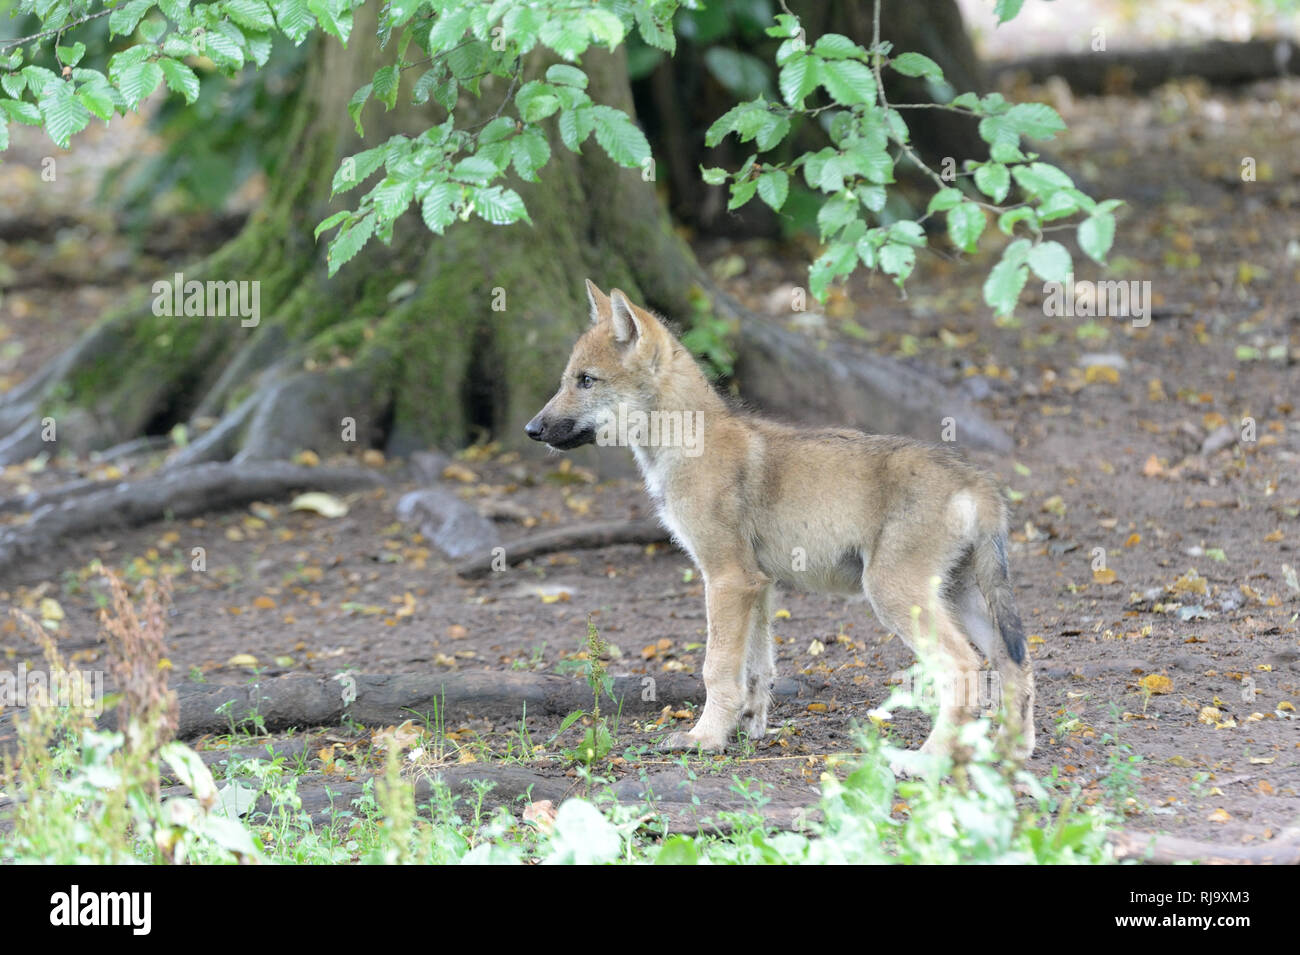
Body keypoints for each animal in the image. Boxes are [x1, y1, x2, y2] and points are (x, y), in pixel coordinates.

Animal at [525, 281, 1034, 762]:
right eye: (568, 380)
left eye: (586, 381)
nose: (531, 430)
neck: (685, 446)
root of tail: (978, 481)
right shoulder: (759, 584)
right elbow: (757, 670)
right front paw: (747, 730)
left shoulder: (727, 579)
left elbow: (716, 670)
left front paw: (703, 739)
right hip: (964, 600)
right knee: (1015, 666)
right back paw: (1011, 755)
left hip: (896, 595)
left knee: (964, 668)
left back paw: (928, 761)